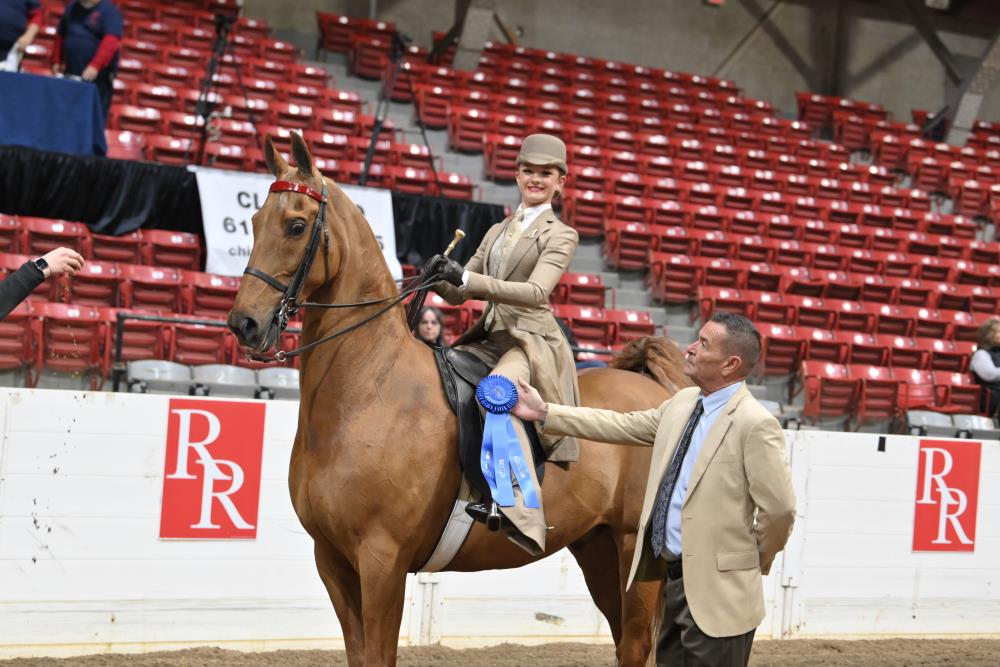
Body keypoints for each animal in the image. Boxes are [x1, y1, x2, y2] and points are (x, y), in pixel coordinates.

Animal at [227, 132, 692, 667]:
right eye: (254, 221)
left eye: (297, 225)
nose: (244, 325)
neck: (367, 391)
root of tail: (658, 396)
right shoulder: (333, 560)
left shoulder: (381, 562)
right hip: (596, 549)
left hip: (634, 549)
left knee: (635, 645)